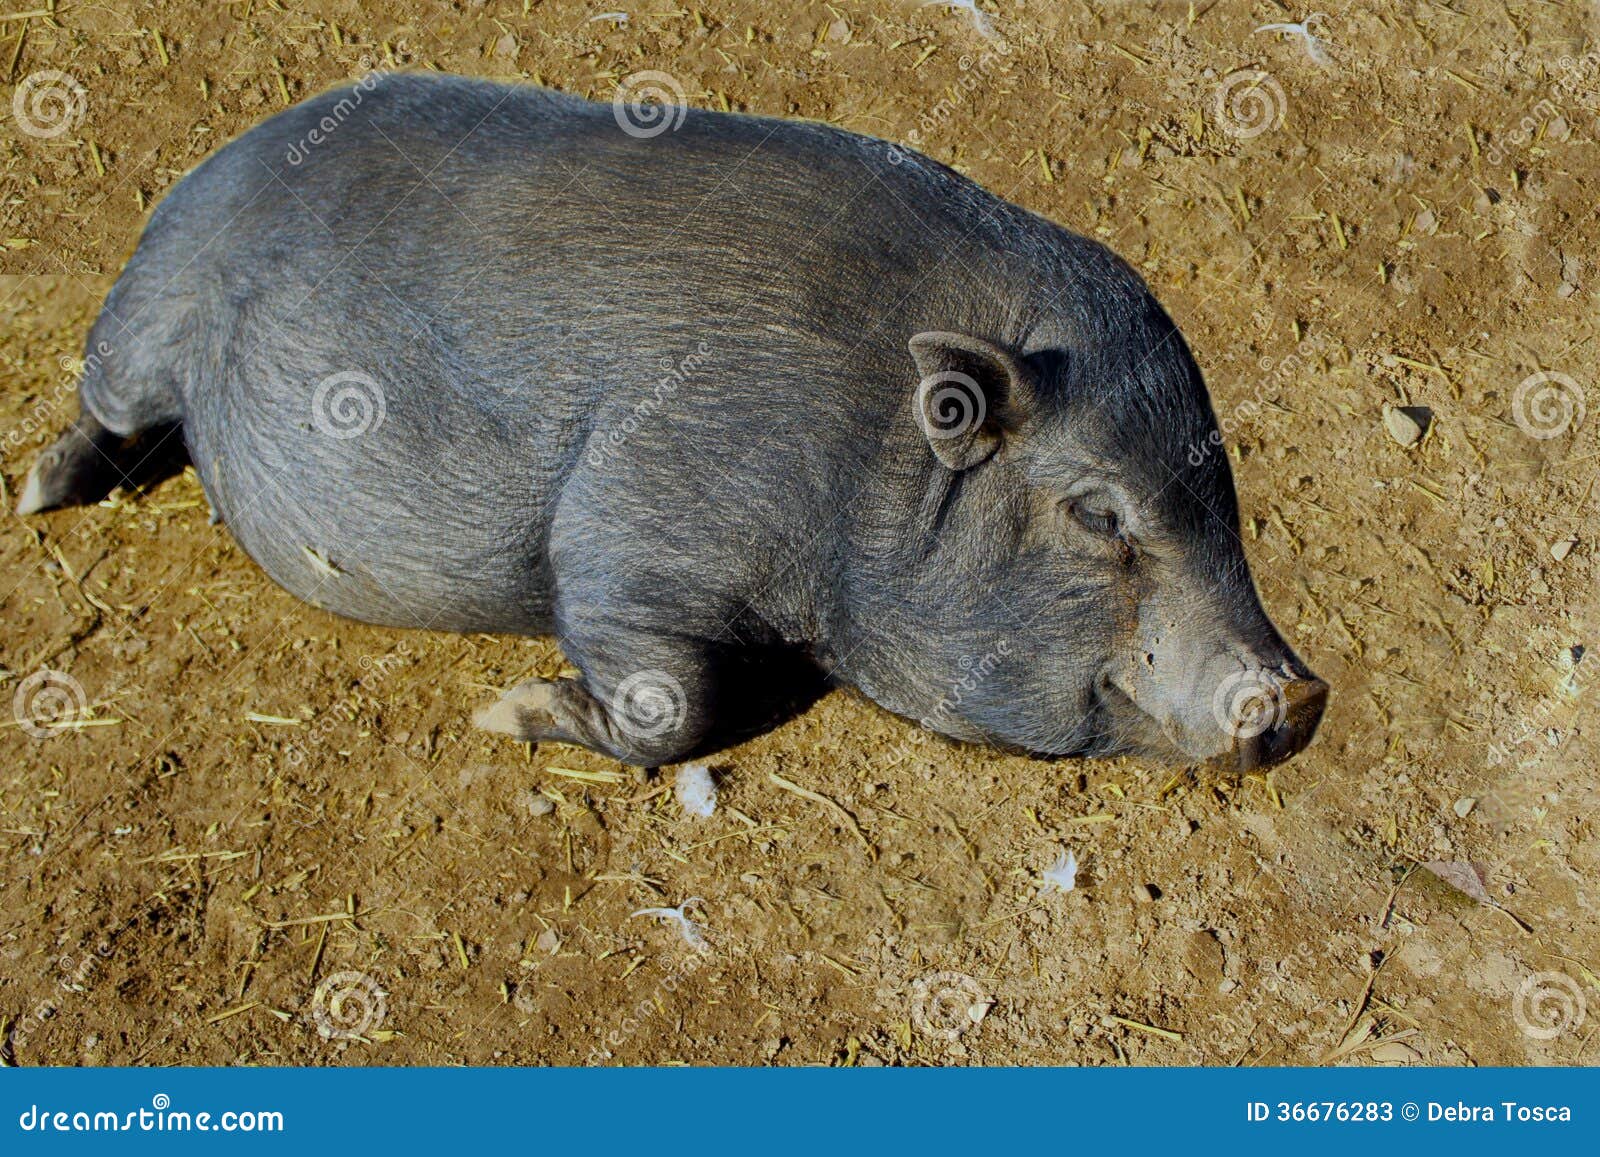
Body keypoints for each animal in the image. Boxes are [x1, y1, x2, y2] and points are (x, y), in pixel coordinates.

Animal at [19, 73, 1327, 769]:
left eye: (1224, 496)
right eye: (1097, 512)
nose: (1301, 694)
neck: (864, 451)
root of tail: (222, 154)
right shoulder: (632, 516)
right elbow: (668, 698)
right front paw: (507, 709)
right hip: (146, 311)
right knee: (108, 410)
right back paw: (35, 491)